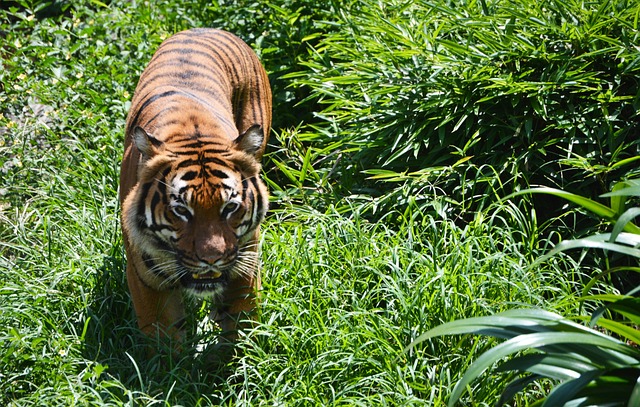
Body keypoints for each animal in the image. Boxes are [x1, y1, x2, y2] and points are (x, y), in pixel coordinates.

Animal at [119, 28, 272, 349]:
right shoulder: (146, 276)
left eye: (230, 208)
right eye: (181, 211)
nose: (211, 259)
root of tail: (204, 28)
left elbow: (240, 323)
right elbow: (163, 342)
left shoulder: (245, 259)